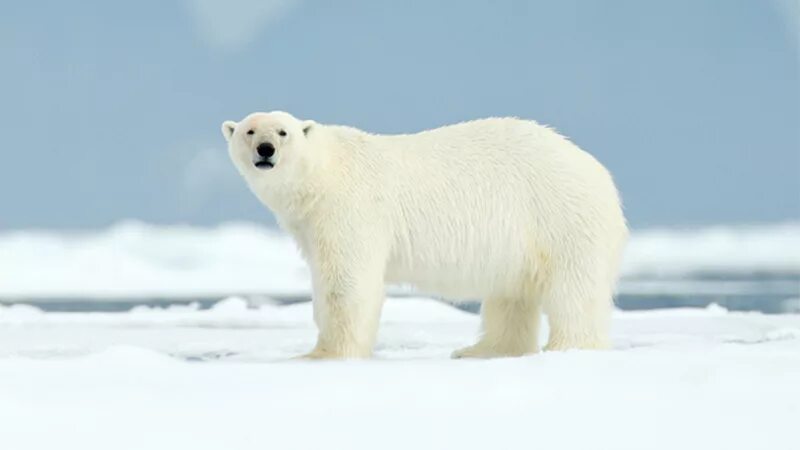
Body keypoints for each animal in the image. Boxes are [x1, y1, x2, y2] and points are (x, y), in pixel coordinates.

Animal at [221, 111, 628, 359]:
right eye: (249, 130)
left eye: (283, 132)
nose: (266, 150)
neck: (326, 173)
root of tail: (601, 174)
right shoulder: (310, 223)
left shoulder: (350, 209)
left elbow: (346, 284)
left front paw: (323, 354)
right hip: (523, 241)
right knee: (511, 295)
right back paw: (481, 350)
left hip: (561, 218)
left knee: (574, 291)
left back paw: (568, 348)